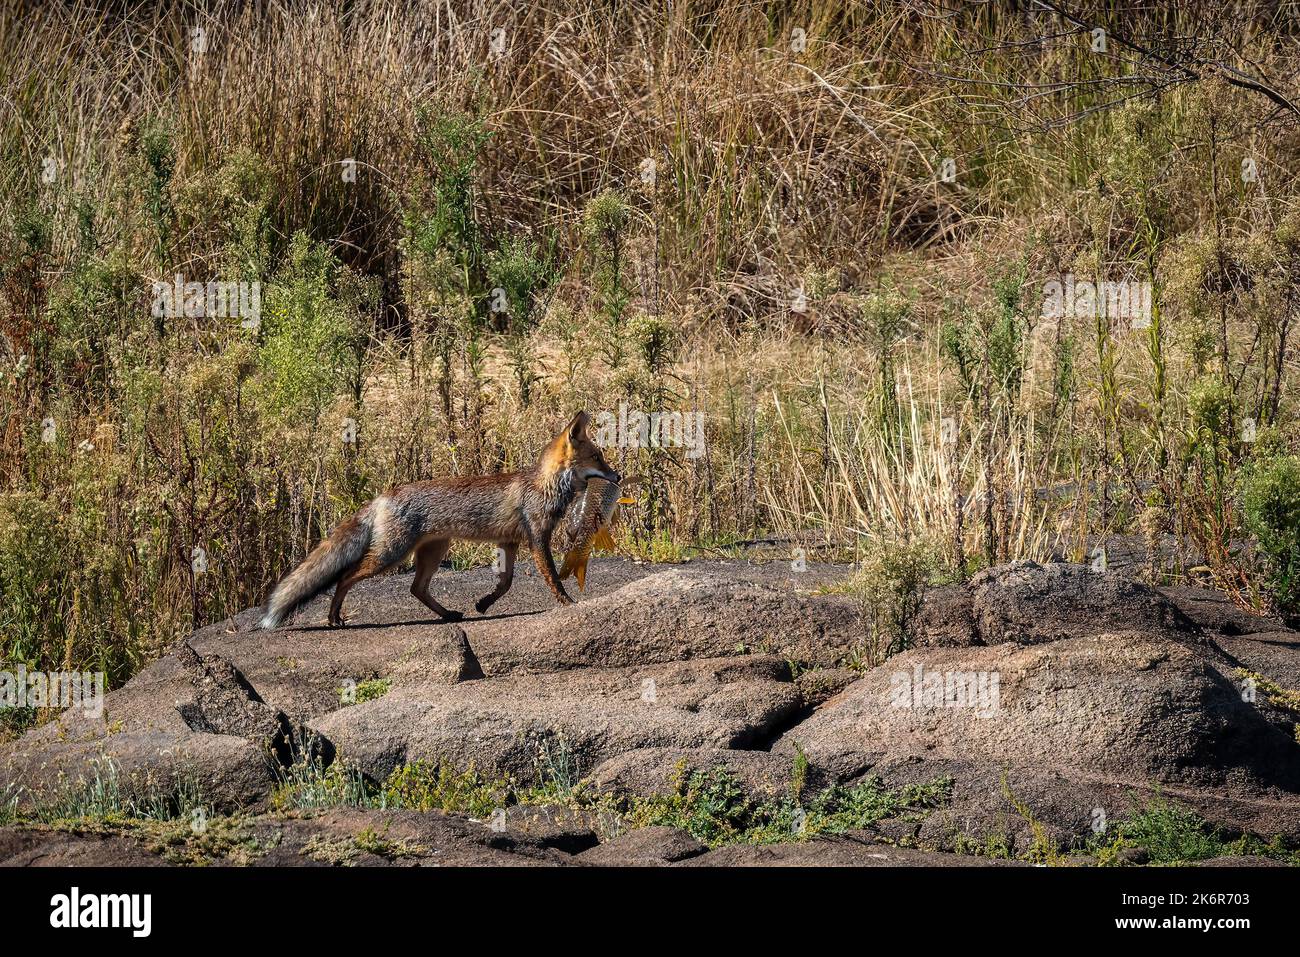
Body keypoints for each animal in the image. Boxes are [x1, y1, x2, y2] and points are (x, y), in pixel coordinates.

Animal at [260, 411, 620, 629]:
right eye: (598, 458)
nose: (617, 476)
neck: (544, 486)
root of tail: (383, 496)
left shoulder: (508, 542)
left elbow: (505, 583)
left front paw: (483, 604)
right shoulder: (536, 539)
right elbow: (553, 580)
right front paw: (568, 603)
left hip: (433, 552)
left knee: (416, 588)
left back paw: (448, 614)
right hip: (391, 555)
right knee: (345, 577)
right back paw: (334, 617)